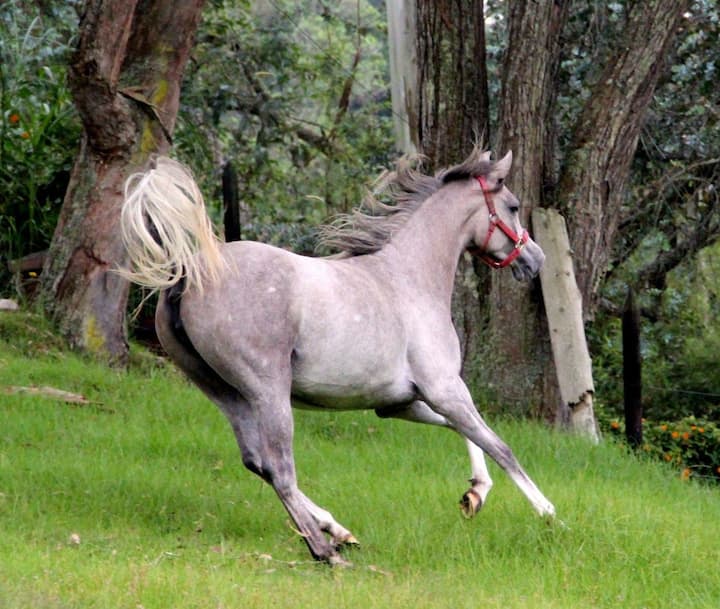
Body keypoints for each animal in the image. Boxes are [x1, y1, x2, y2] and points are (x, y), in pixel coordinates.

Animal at [120, 148, 556, 565]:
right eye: (513, 206)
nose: (536, 260)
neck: (408, 279)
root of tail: (188, 275)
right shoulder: (445, 389)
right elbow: (499, 446)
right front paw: (549, 514)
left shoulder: (401, 403)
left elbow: (463, 431)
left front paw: (475, 494)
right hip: (268, 393)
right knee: (279, 469)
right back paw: (325, 551)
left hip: (225, 394)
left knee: (258, 463)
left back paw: (337, 531)